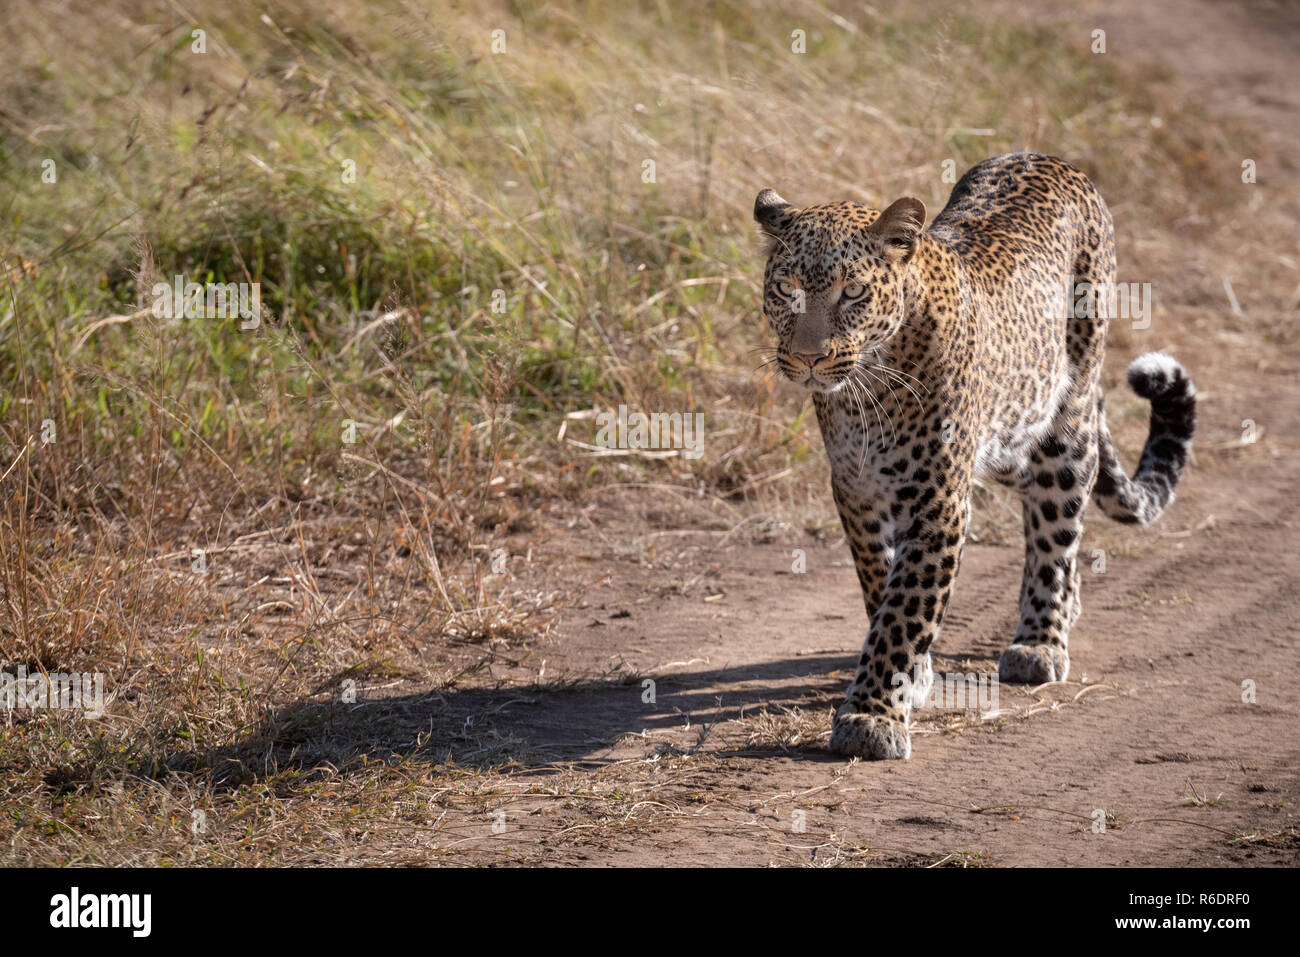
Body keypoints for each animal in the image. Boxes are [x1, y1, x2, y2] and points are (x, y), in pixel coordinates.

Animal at [754, 152, 1196, 760]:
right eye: (786, 288)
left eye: (853, 293)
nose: (806, 358)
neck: (868, 389)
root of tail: (1047, 158)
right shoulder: (856, 490)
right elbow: (879, 584)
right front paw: (910, 678)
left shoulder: (939, 499)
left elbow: (905, 609)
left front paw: (871, 717)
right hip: (1011, 436)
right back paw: (1069, 605)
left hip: (1063, 424)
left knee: (1058, 527)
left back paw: (1042, 639)